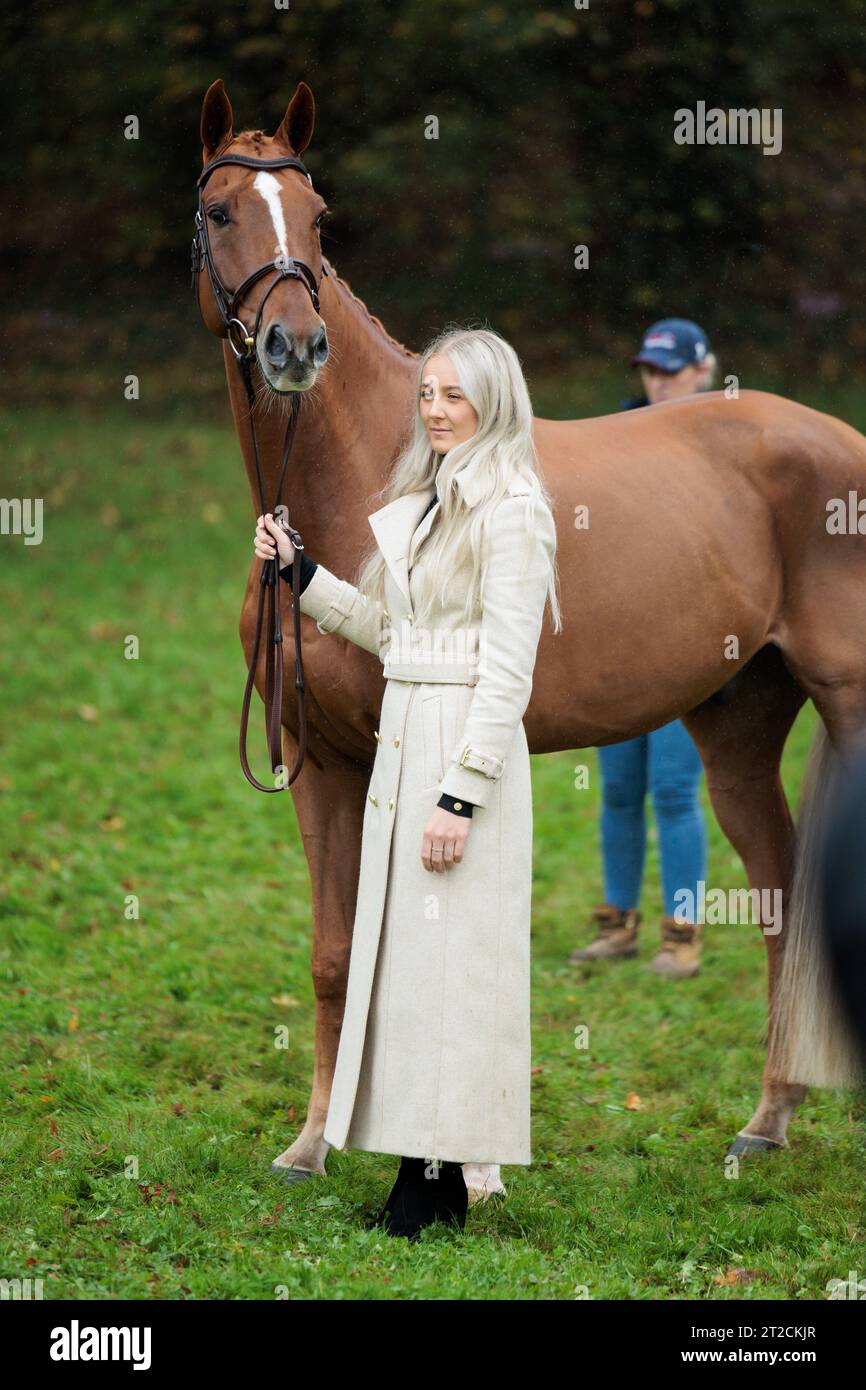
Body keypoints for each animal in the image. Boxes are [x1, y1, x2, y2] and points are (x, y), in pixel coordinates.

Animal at [192, 78, 866, 1186]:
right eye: (219, 212)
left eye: (319, 220)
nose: (296, 347)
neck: (358, 482)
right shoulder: (319, 758)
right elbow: (334, 956)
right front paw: (309, 1143)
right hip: (734, 726)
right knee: (778, 899)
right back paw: (765, 1121)